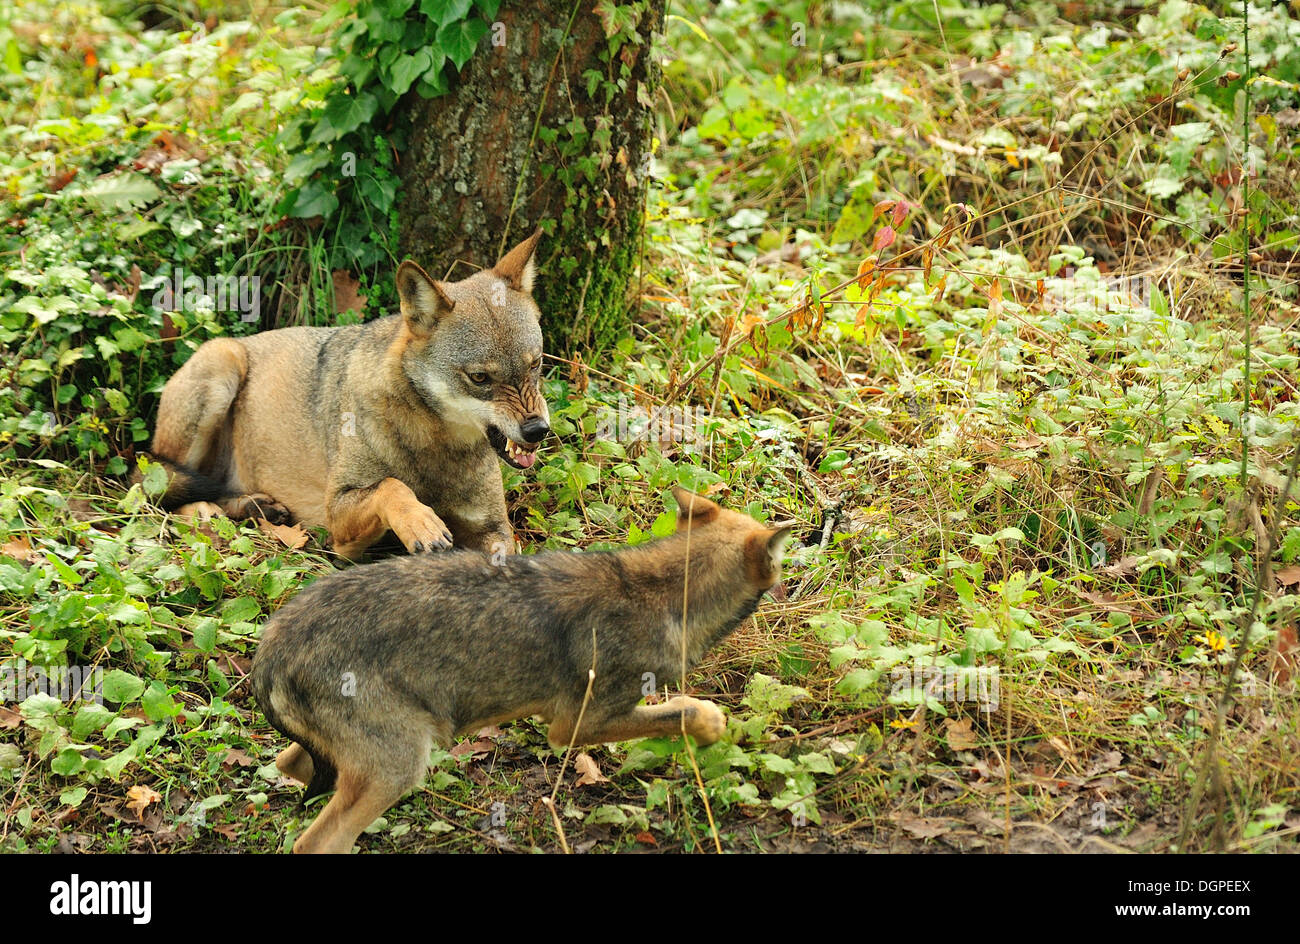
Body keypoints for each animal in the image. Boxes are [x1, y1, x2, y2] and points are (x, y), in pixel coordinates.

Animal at [145, 230, 548, 559]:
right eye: (480, 378)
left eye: (536, 363)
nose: (538, 430)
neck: (435, 447)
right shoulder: (339, 527)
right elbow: (391, 486)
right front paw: (421, 521)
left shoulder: (493, 530)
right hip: (222, 361)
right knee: (155, 487)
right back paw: (207, 512)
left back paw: (253, 507)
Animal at [250, 487, 795, 853]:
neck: (664, 590)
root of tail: (269, 651)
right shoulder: (574, 726)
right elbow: (686, 712)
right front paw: (715, 727)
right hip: (399, 764)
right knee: (314, 841)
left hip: (363, 755)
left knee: (292, 768)